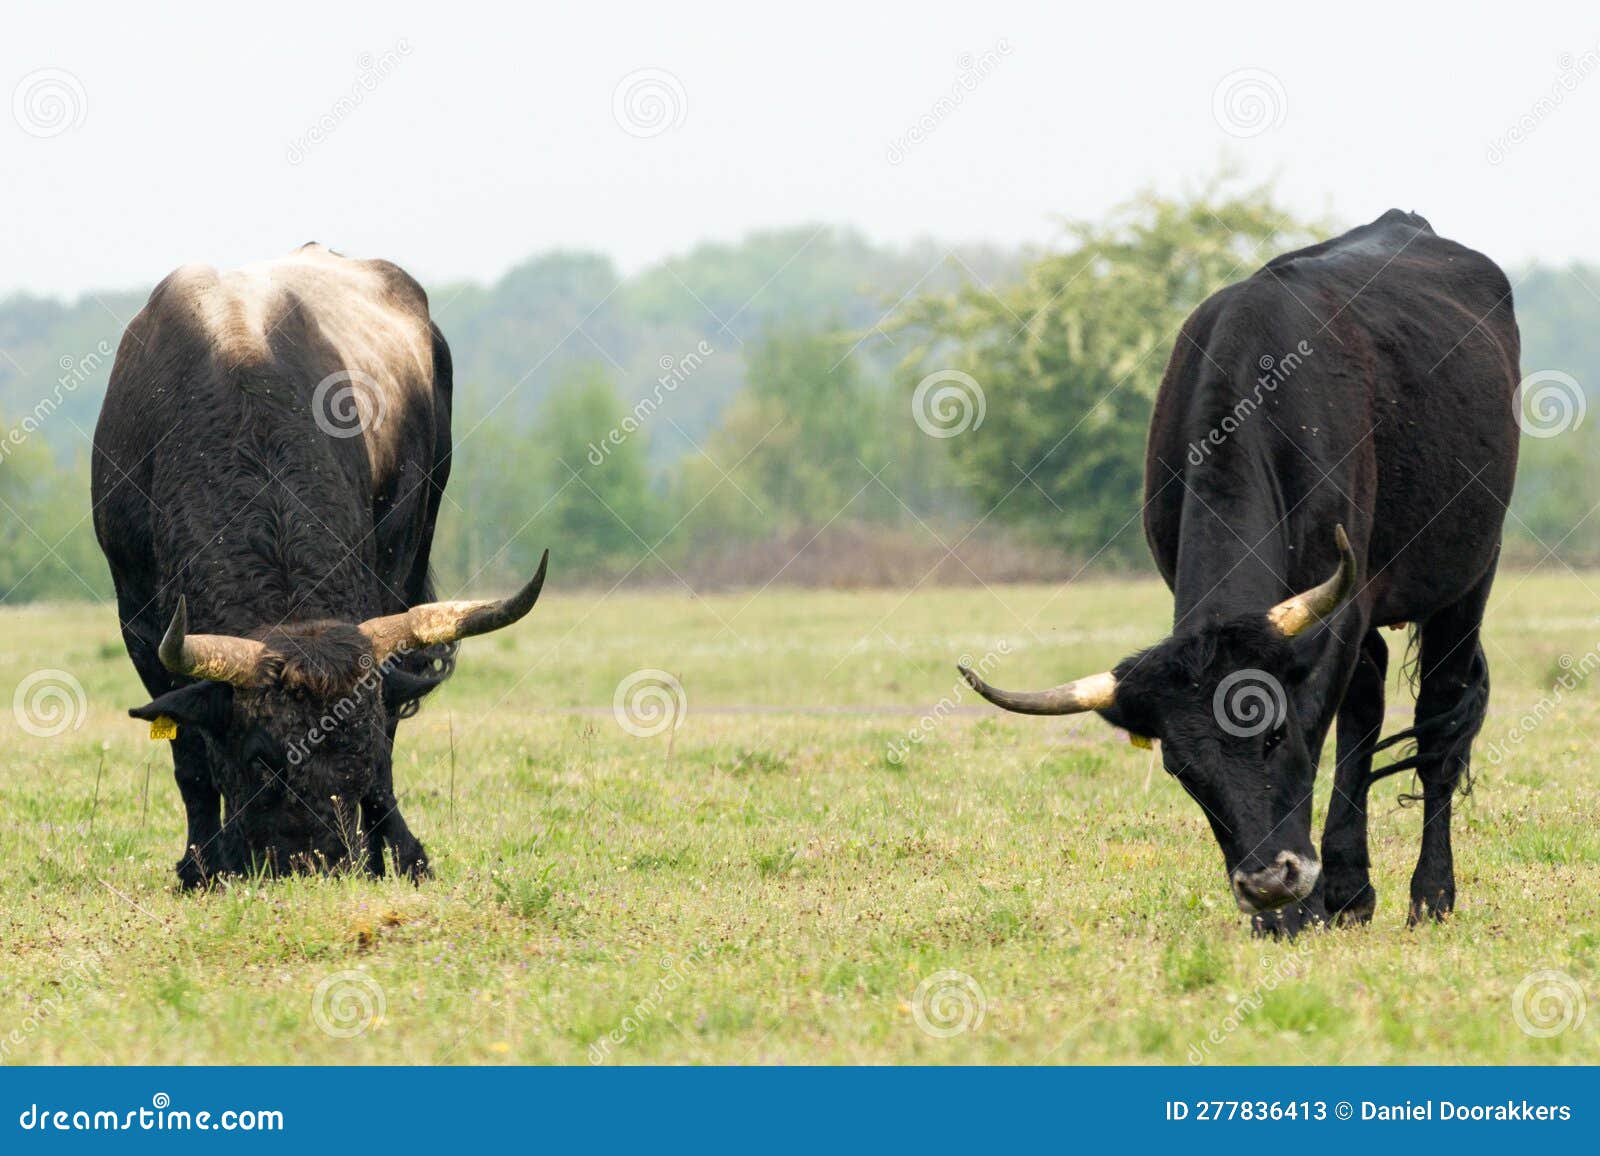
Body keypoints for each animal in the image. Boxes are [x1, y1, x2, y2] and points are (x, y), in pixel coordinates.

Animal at [91, 243, 547, 888]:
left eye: (362, 754)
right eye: (263, 760)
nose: (320, 863)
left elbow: (388, 729)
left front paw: (402, 854)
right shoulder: (138, 622)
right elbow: (190, 759)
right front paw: (200, 866)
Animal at [961, 210, 1519, 935]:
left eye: (1274, 733)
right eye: (1181, 770)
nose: (1267, 883)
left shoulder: (1344, 604)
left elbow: (1329, 722)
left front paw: (1307, 907)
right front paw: (1299, 910)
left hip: (1470, 575)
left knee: (1439, 725)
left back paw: (1430, 894)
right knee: (1368, 705)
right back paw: (1350, 890)